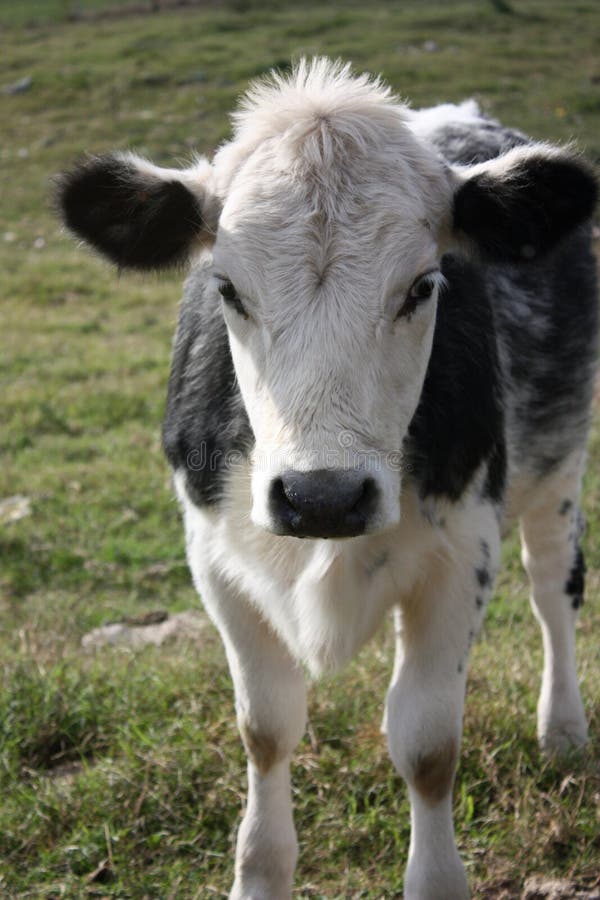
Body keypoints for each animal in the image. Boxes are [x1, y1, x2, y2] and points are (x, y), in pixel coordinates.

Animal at [57, 58, 597, 900]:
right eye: (226, 288)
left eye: (422, 286)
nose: (323, 497)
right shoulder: (215, 560)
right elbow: (266, 728)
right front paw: (258, 874)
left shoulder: (462, 557)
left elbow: (428, 745)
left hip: (560, 466)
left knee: (553, 591)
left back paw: (564, 728)